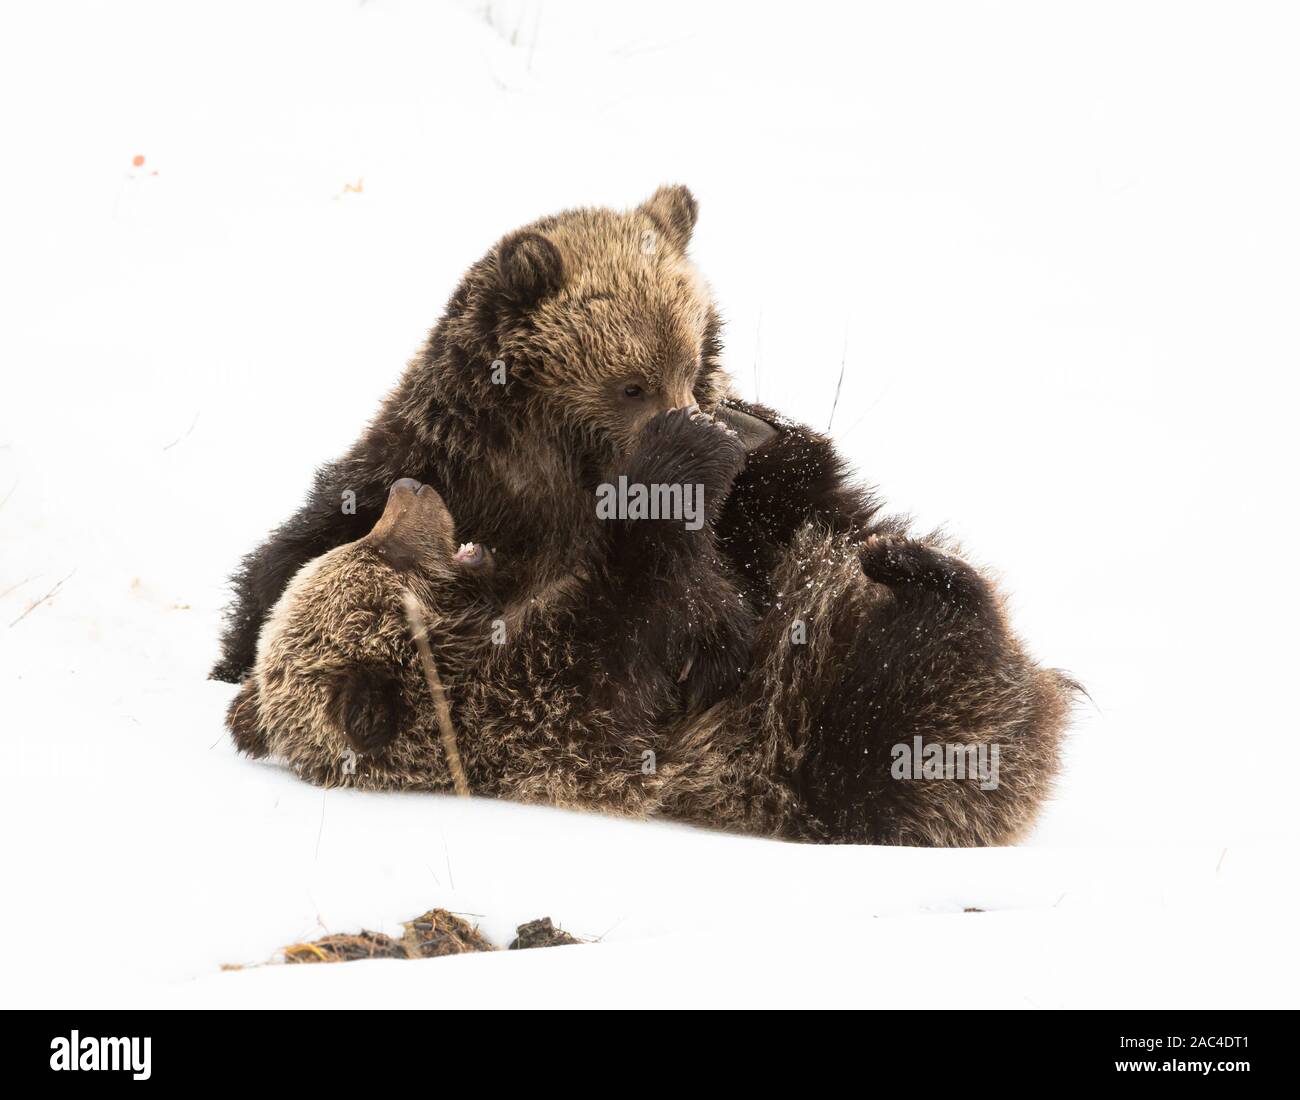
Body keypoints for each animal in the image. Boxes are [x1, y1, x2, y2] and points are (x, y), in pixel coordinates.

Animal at [215, 185, 1075, 845]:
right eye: (629, 384)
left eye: (693, 361)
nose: (700, 418)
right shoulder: (566, 669)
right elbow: (685, 625)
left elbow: (790, 515)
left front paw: (762, 437)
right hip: (848, 732)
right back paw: (923, 582)